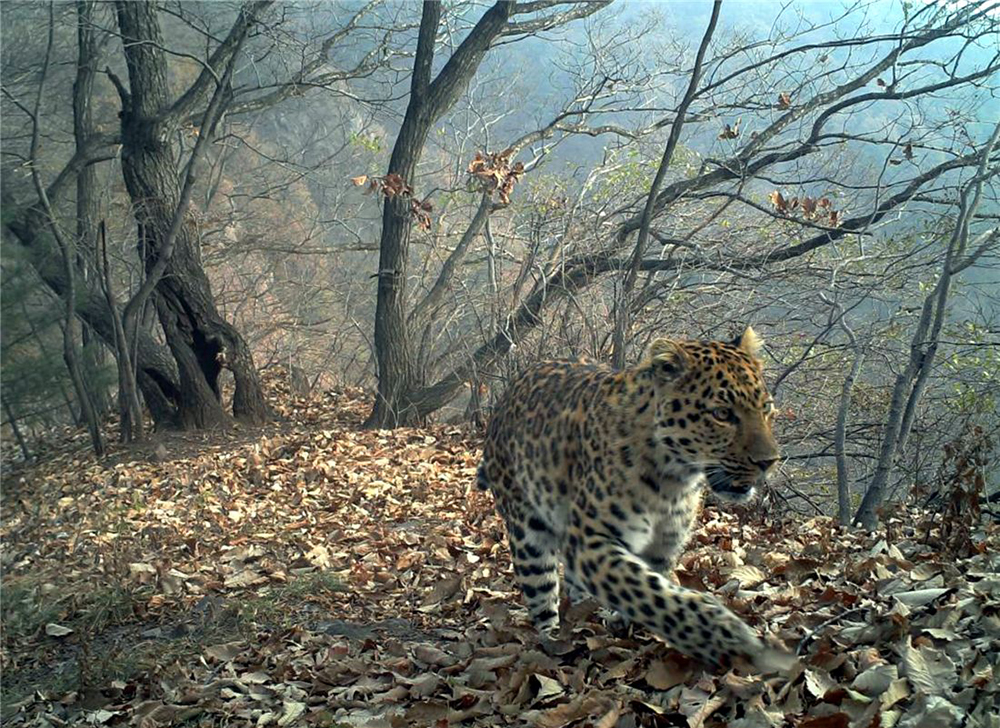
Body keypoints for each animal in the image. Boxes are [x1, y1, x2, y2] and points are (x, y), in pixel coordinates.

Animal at [476, 327, 791, 671]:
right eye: (721, 414)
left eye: (767, 408)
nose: (770, 462)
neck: (672, 485)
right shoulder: (590, 541)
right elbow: (647, 593)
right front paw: (727, 638)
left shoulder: (662, 549)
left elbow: (654, 592)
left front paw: (623, 620)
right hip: (527, 532)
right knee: (541, 594)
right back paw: (554, 640)